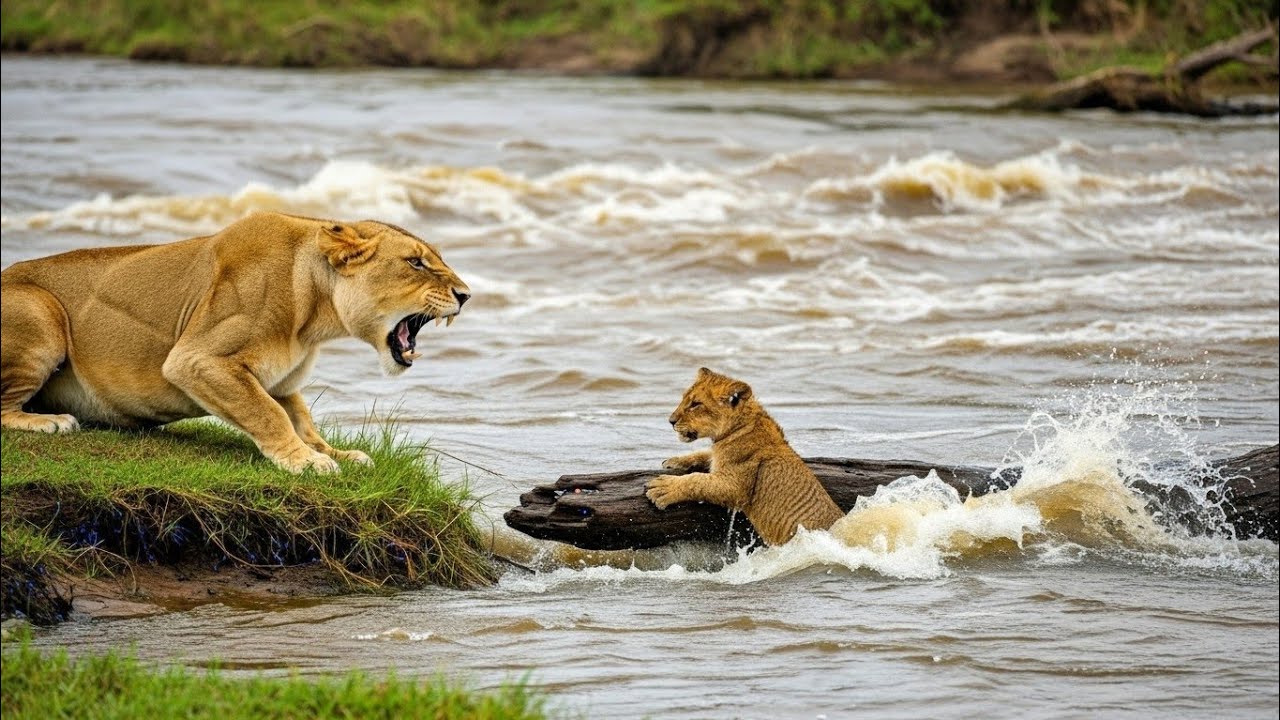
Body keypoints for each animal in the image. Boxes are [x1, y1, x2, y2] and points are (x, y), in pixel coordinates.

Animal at [0, 211, 470, 474]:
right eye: (416, 262)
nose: (466, 295)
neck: (313, 318)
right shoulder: (197, 360)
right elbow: (268, 415)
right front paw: (308, 462)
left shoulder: (280, 381)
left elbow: (302, 420)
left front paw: (337, 453)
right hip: (40, 311)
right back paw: (49, 422)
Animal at [645, 367, 845, 546]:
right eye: (684, 399)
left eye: (696, 404)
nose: (671, 421)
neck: (739, 425)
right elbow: (704, 454)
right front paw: (674, 461)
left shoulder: (735, 486)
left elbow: (697, 480)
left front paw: (663, 489)